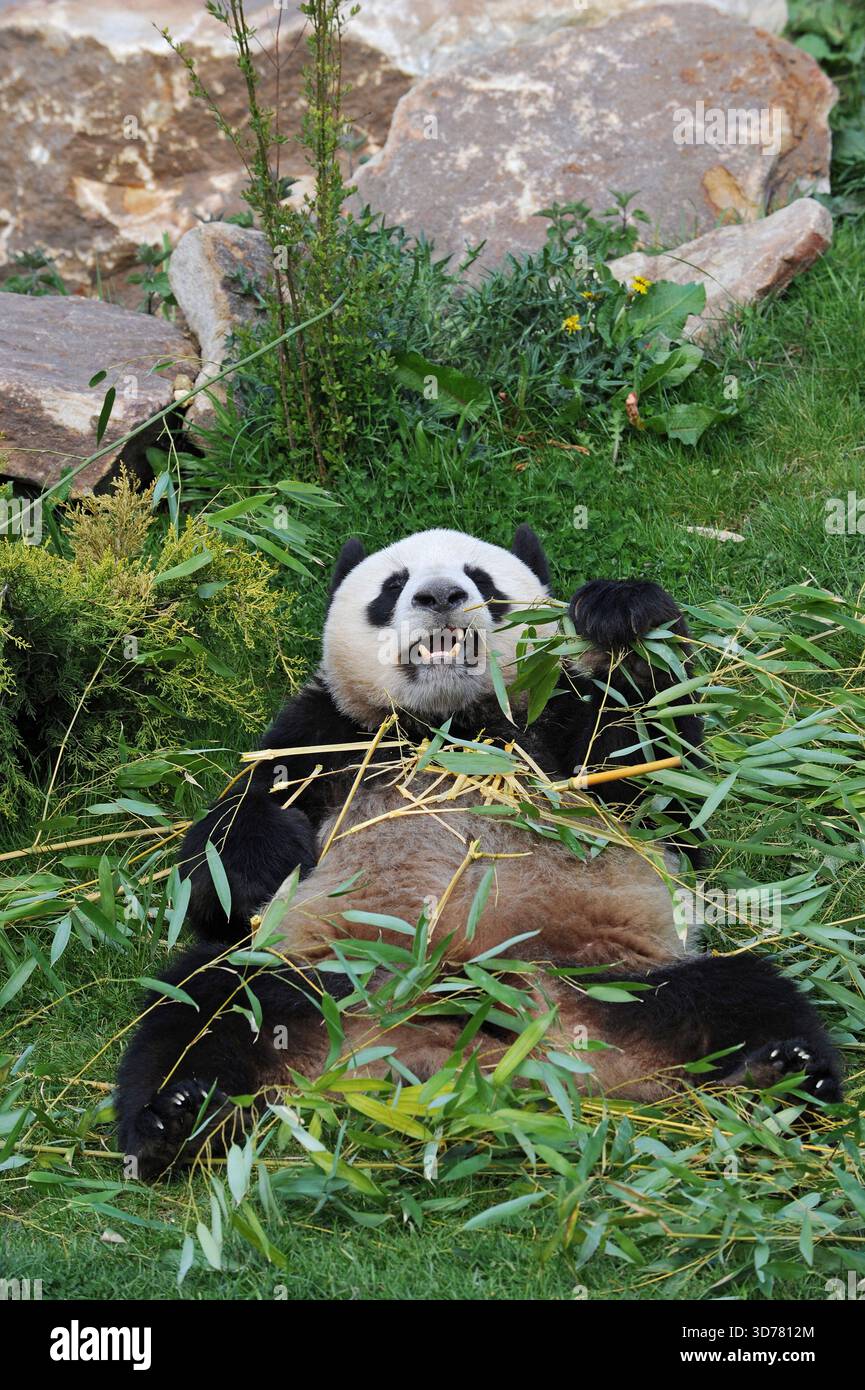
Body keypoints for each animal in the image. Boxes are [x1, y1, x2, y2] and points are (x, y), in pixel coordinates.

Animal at [116, 525, 842, 1178]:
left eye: (483, 581)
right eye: (393, 586)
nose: (440, 596)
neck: (449, 727)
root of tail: (455, 1063)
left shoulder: (553, 729)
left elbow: (658, 782)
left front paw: (622, 617)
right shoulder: (328, 734)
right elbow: (223, 860)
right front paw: (258, 876)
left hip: (611, 978)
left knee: (743, 992)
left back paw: (778, 1074)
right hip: (325, 983)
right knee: (201, 1006)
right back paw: (174, 1121)